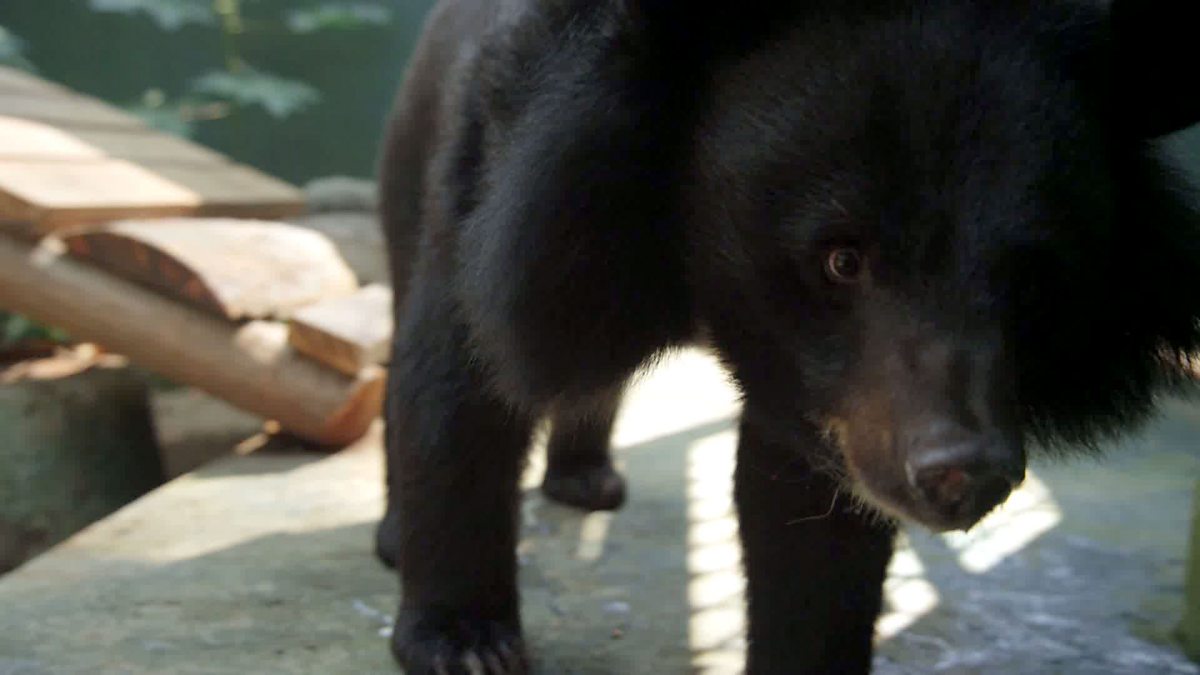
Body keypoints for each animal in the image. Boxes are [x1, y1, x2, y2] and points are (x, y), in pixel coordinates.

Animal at [373, 0, 1200, 672]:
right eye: (841, 258)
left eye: (1030, 283)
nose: (964, 473)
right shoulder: (503, 182)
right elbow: (457, 384)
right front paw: (463, 642)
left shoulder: (833, 395)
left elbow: (805, 512)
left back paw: (587, 479)